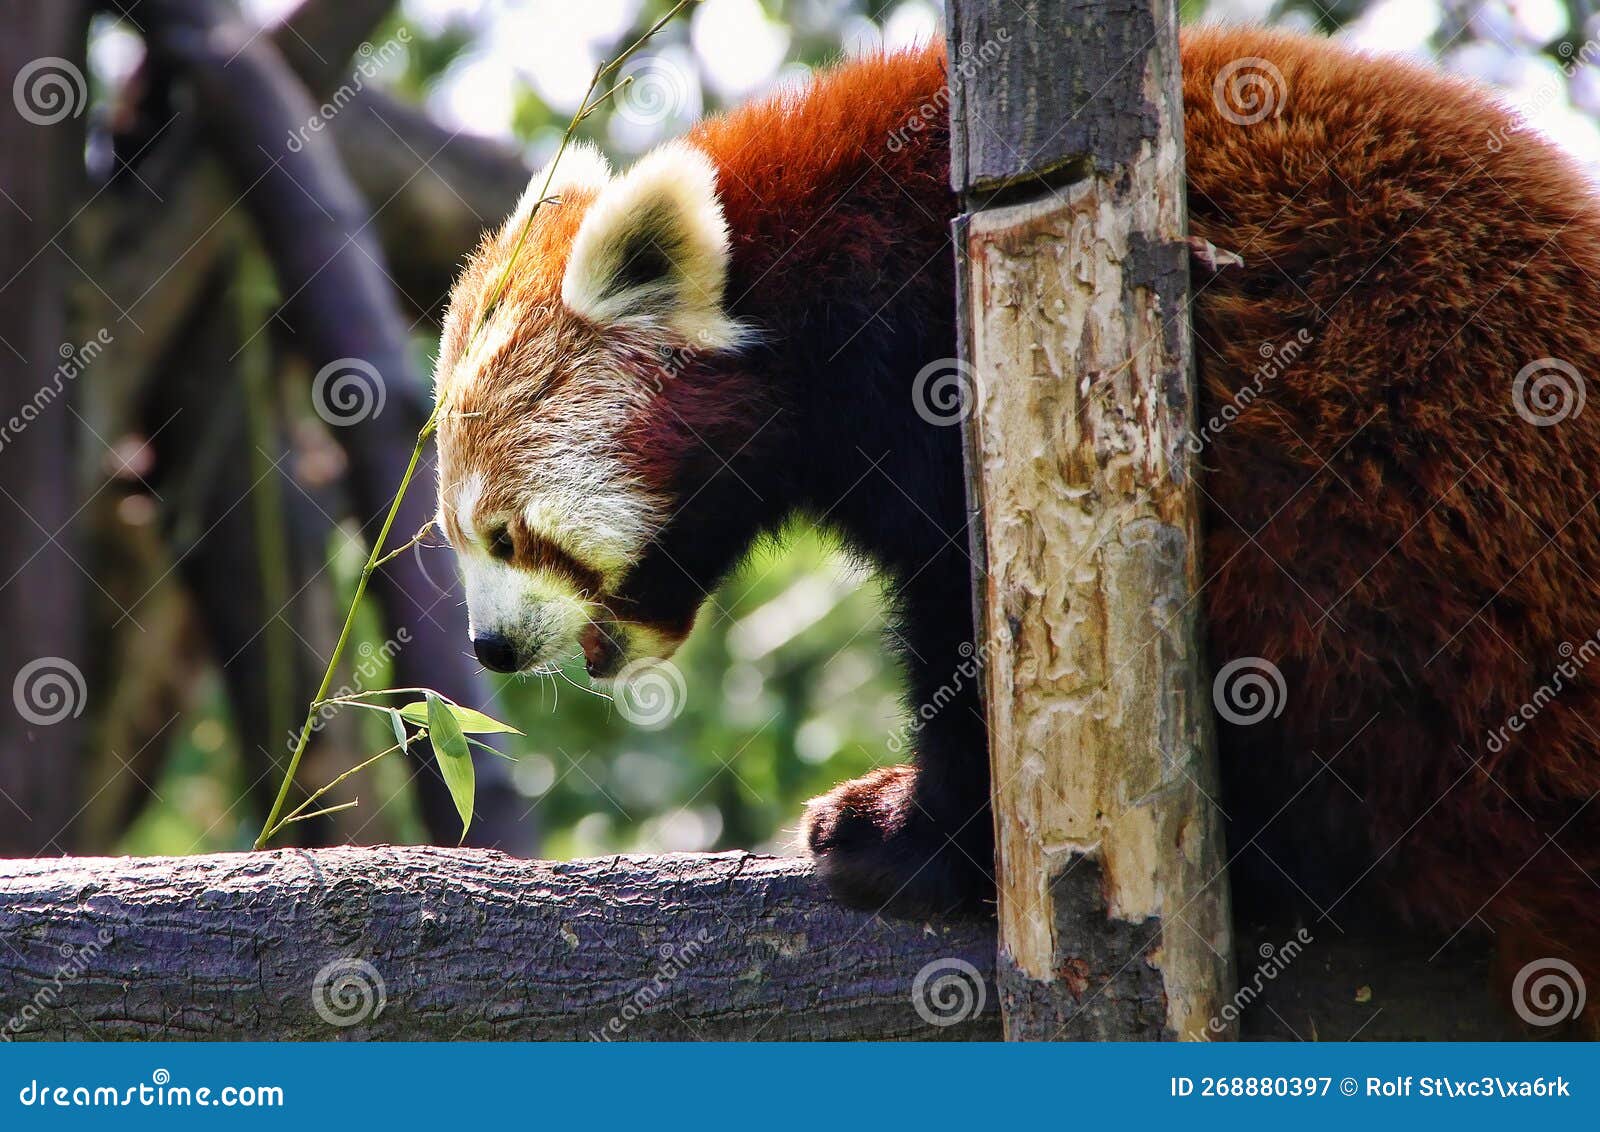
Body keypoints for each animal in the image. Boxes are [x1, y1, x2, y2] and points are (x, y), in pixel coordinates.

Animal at [432, 25, 1600, 1016]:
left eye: (505, 535)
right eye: (454, 539)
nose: (489, 648)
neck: (804, 263)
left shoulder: (941, 360)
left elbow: (971, 628)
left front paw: (906, 835)